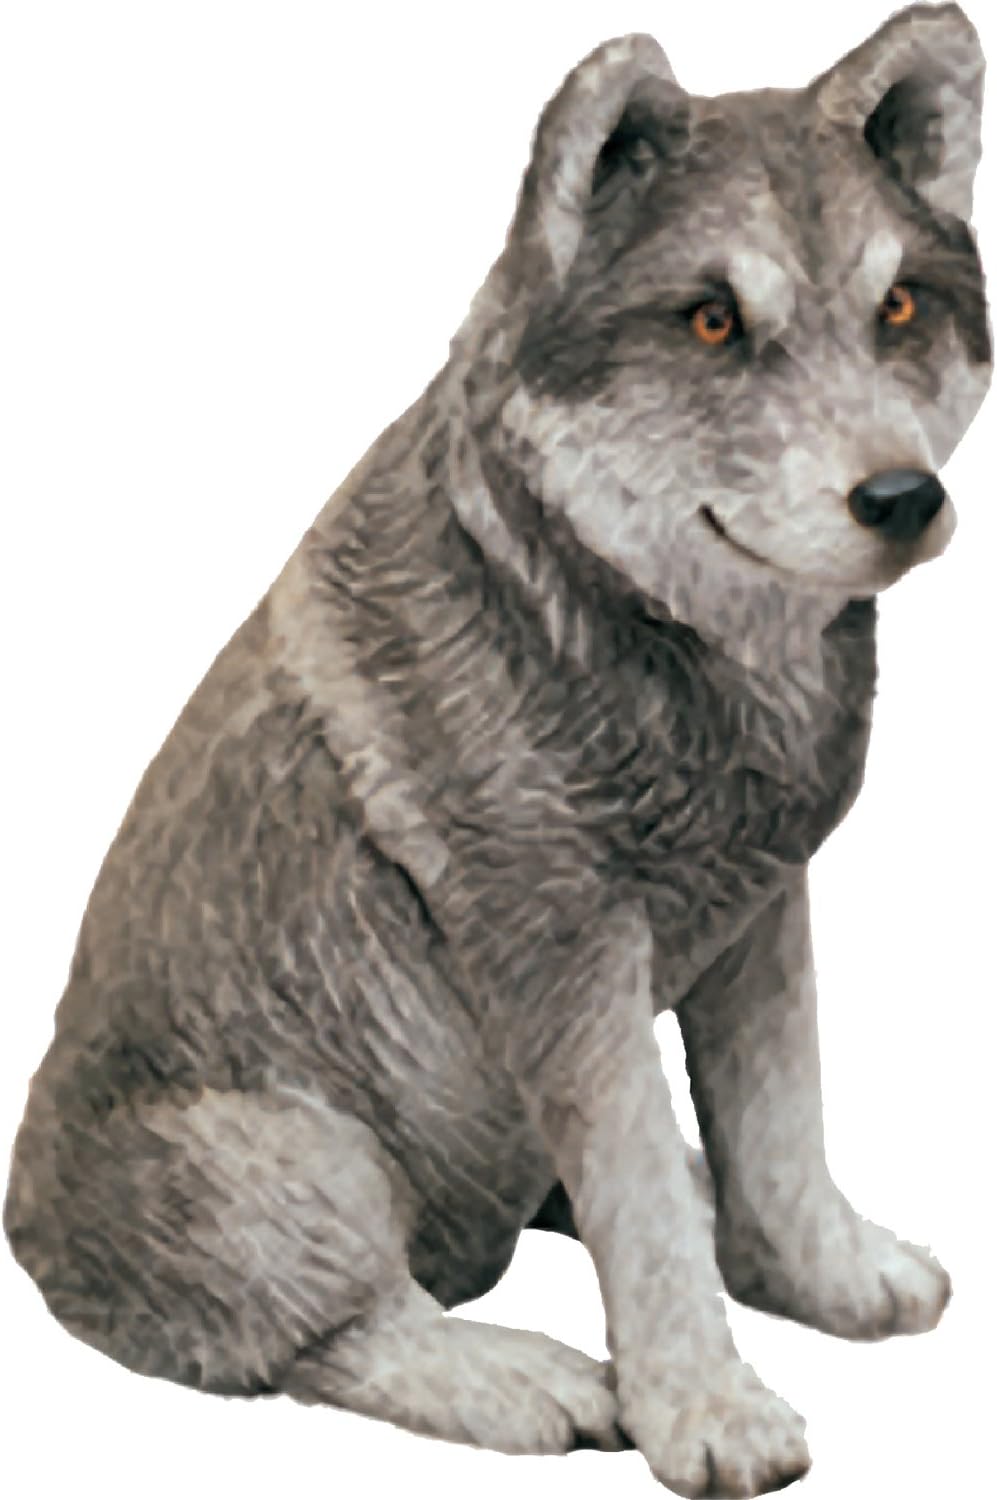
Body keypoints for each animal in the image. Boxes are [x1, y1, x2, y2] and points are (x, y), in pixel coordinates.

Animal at [4, 4, 990, 1496]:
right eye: (712, 320)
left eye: (898, 308)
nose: (901, 499)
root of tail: (24, 1221)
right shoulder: (561, 952)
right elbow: (639, 1199)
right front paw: (706, 1411)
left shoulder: (763, 911)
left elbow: (777, 1123)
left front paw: (816, 1275)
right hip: (295, 1159)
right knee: (337, 1325)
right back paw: (516, 1374)